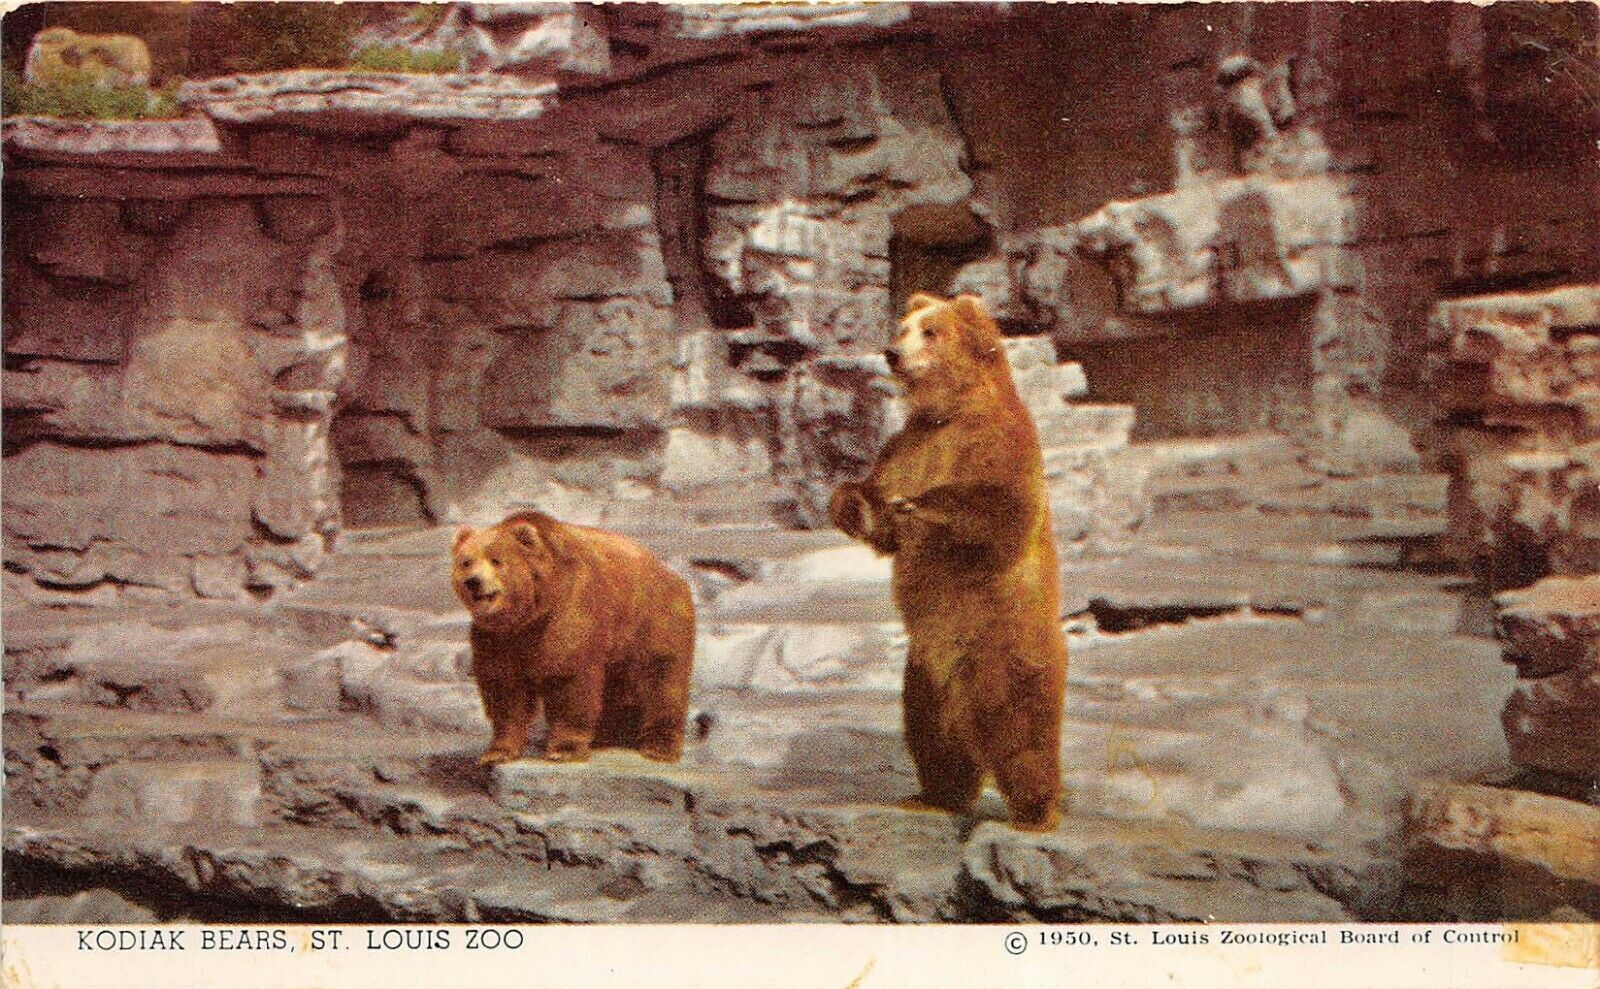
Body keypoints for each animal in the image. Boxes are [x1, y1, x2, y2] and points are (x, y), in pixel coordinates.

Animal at [451, 511, 695, 766]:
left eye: (496, 560)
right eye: (467, 562)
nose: (473, 581)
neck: (530, 613)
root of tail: (669, 572)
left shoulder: (569, 612)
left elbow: (570, 680)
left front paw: (563, 749)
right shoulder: (498, 637)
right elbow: (504, 689)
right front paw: (497, 752)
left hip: (652, 621)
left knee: (663, 679)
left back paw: (659, 746)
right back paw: (606, 734)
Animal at [829, 293, 1069, 832]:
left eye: (930, 331)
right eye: (904, 326)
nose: (892, 352)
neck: (950, 410)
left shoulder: (997, 443)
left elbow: (1002, 512)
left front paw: (926, 505)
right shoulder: (909, 445)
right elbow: (881, 517)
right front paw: (854, 503)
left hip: (1006, 648)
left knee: (1024, 735)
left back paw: (1035, 810)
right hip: (925, 671)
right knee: (933, 735)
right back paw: (935, 796)